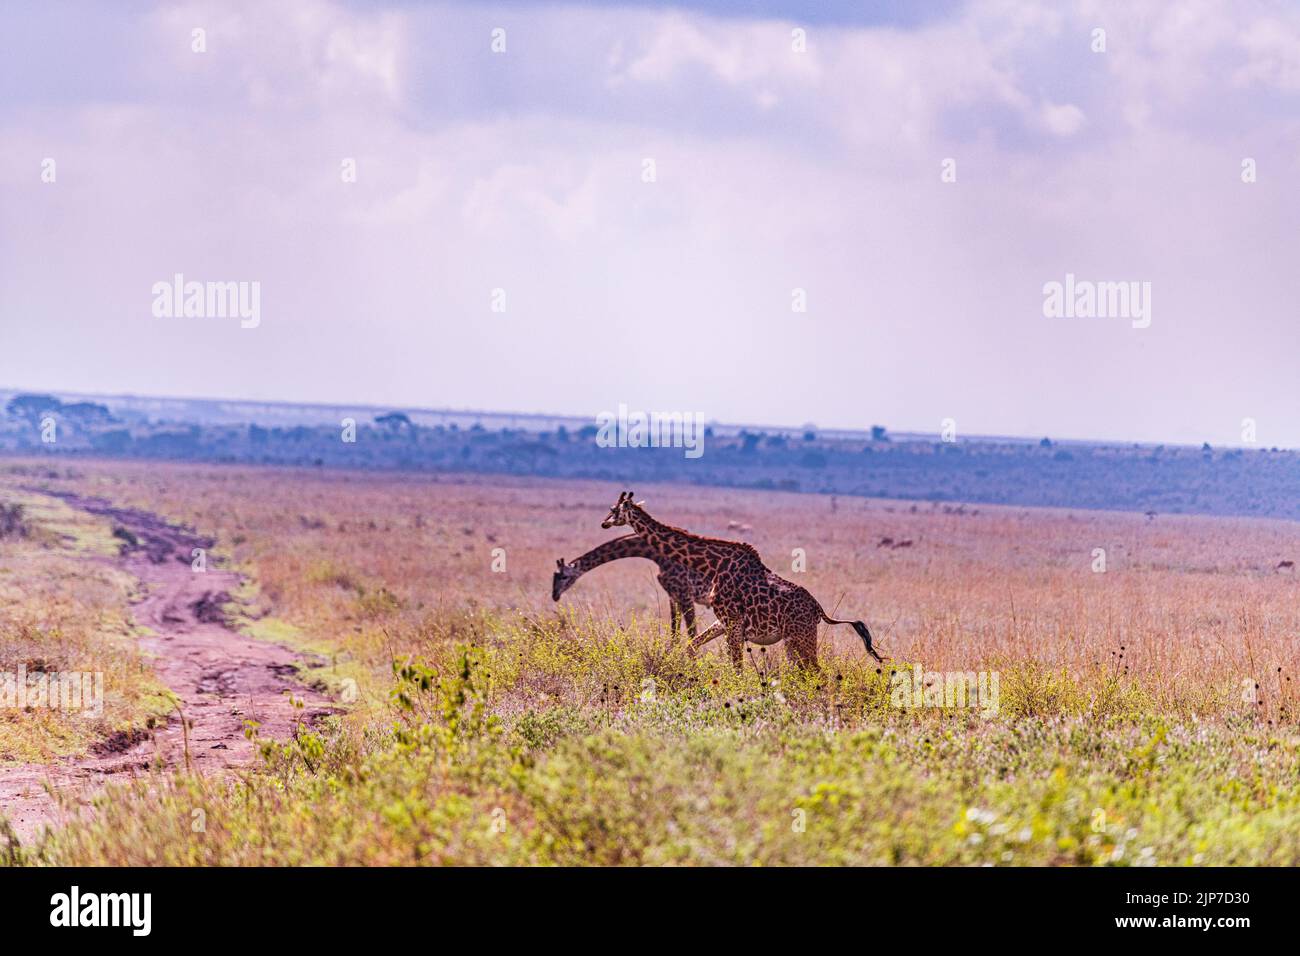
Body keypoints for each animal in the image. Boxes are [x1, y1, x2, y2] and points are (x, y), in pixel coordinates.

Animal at [552, 534, 710, 638]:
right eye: (554, 577)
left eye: (564, 576)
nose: (554, 595)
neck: (660, 558)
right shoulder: (673, 597)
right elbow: (674, 634)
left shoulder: (685, 595)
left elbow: (692, 633)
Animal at [599, 492, 885, 669]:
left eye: (613, 509)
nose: (603, 523)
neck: (713, 565)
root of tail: (819, 610)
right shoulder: (723, 622)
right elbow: (691, 646)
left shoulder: (733, 624)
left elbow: (737, 668)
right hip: (796, 639)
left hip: (799, 636)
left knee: (815, 673)